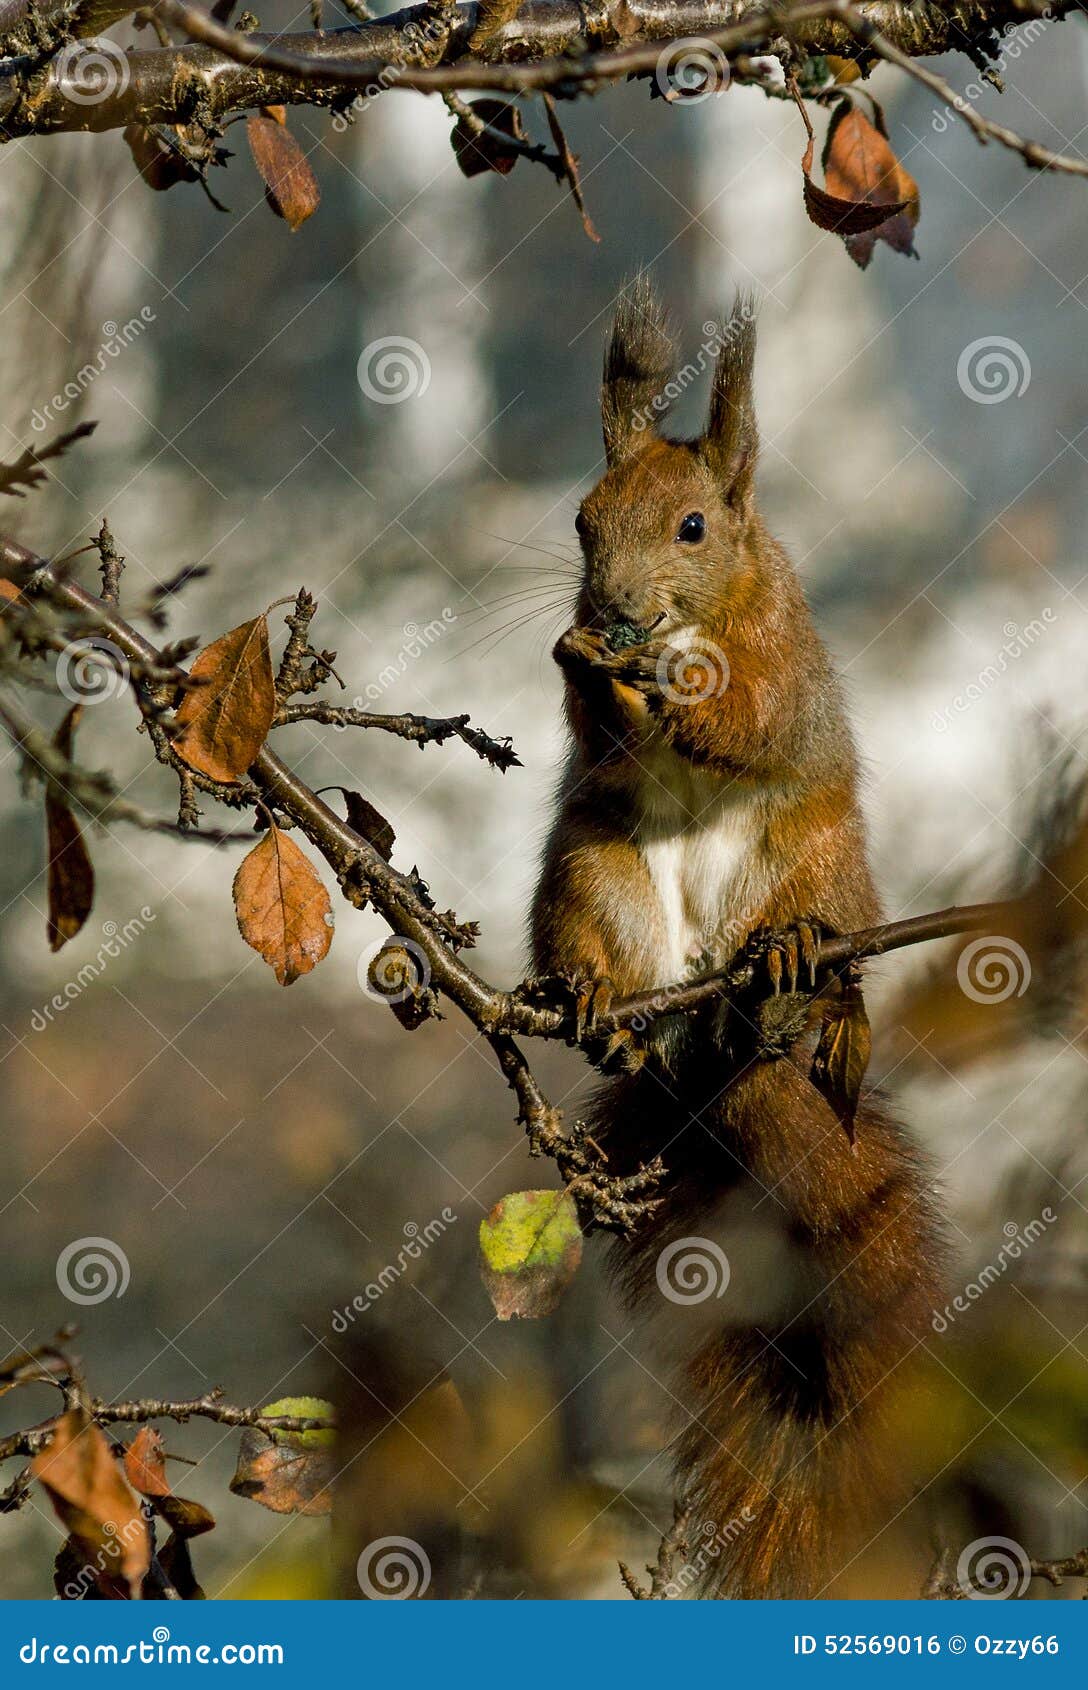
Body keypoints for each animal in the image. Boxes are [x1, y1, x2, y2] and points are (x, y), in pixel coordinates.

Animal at [530, 279, 945, 1598]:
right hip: (593, 873)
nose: (607, 612)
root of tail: (703, 1044)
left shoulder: (775, 656)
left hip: (811, 864)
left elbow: (748, 712)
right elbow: (595, 727)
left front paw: (672, 692)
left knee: (810, 958)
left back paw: (791, 978)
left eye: (696, 526)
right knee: (599, 956)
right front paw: (587, 672)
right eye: (579, 521)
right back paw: (593, 1002)